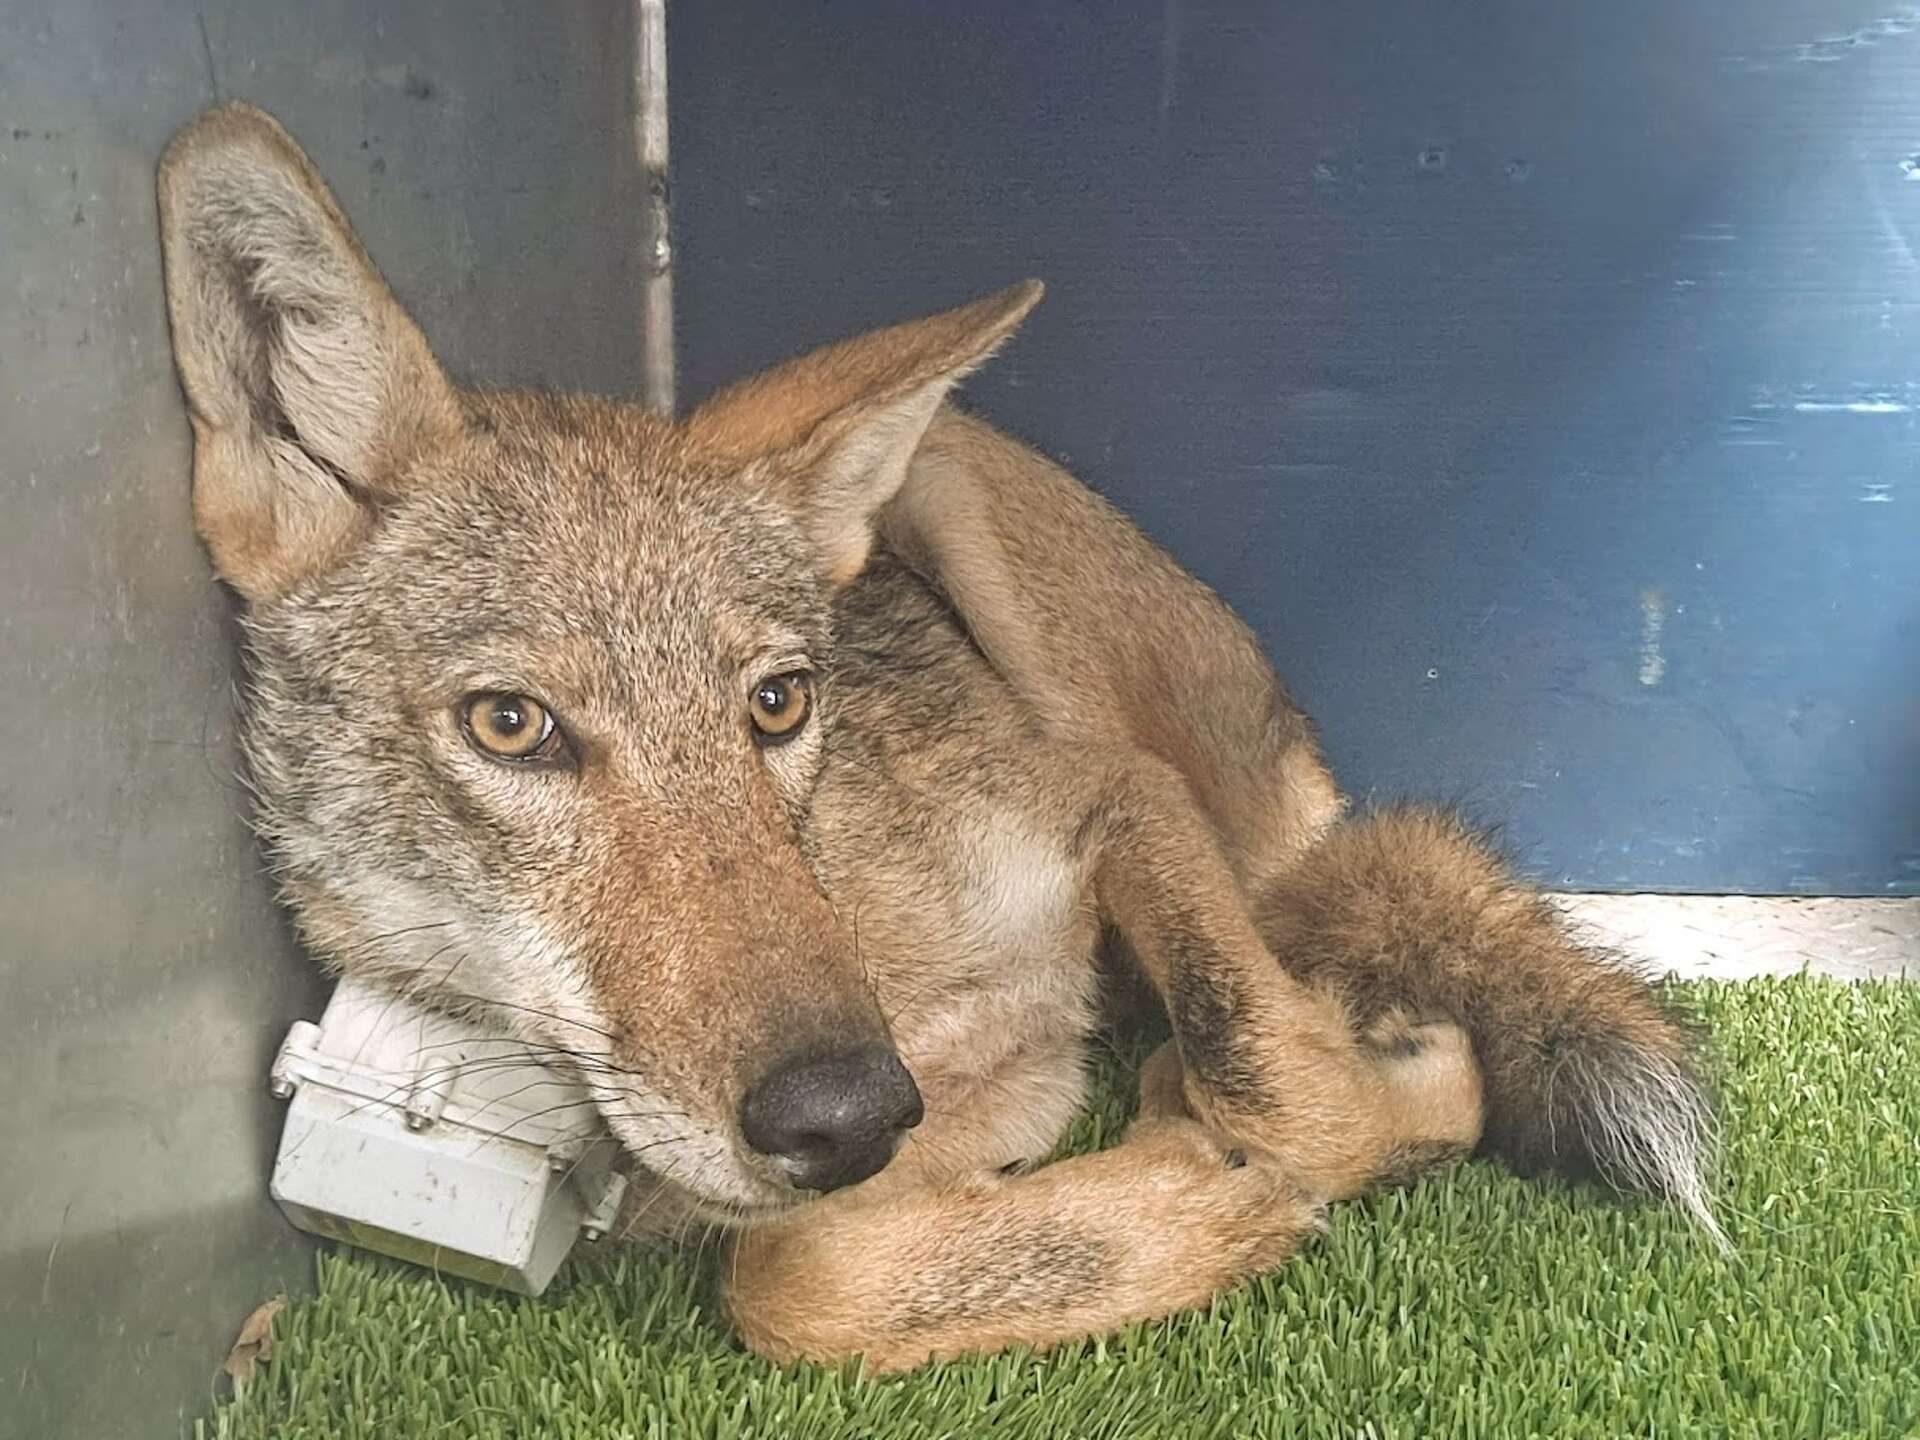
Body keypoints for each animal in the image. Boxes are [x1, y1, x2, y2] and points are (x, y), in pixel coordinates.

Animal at [158, 103, 1716, 1372]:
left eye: (779, 704)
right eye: (511, 726)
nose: (845, 1110)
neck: (894, 968)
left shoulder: (1109, 801)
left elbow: (1281, 1079)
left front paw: (1331, 1120)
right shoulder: (969, 1113)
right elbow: (795, 1281)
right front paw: (1188, 1199)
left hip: (976, 518)